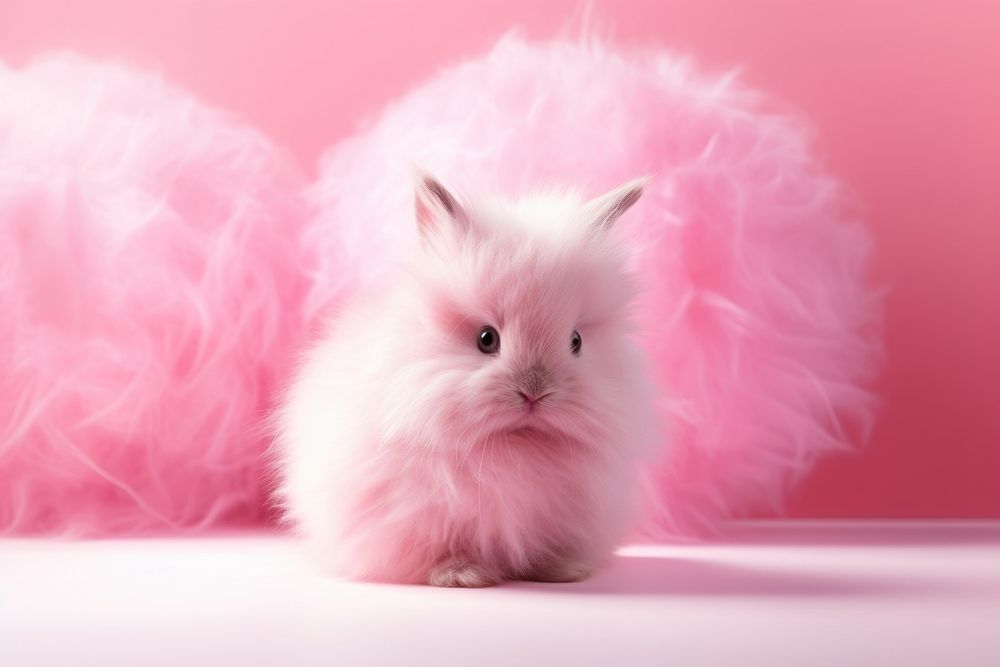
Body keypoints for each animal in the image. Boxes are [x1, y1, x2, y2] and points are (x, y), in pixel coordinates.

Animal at [275, 172, 660, 586]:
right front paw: (462, 574)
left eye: (576, 342)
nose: (535, 392)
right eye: (486, 339)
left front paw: (563, 570)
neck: (514, 447)